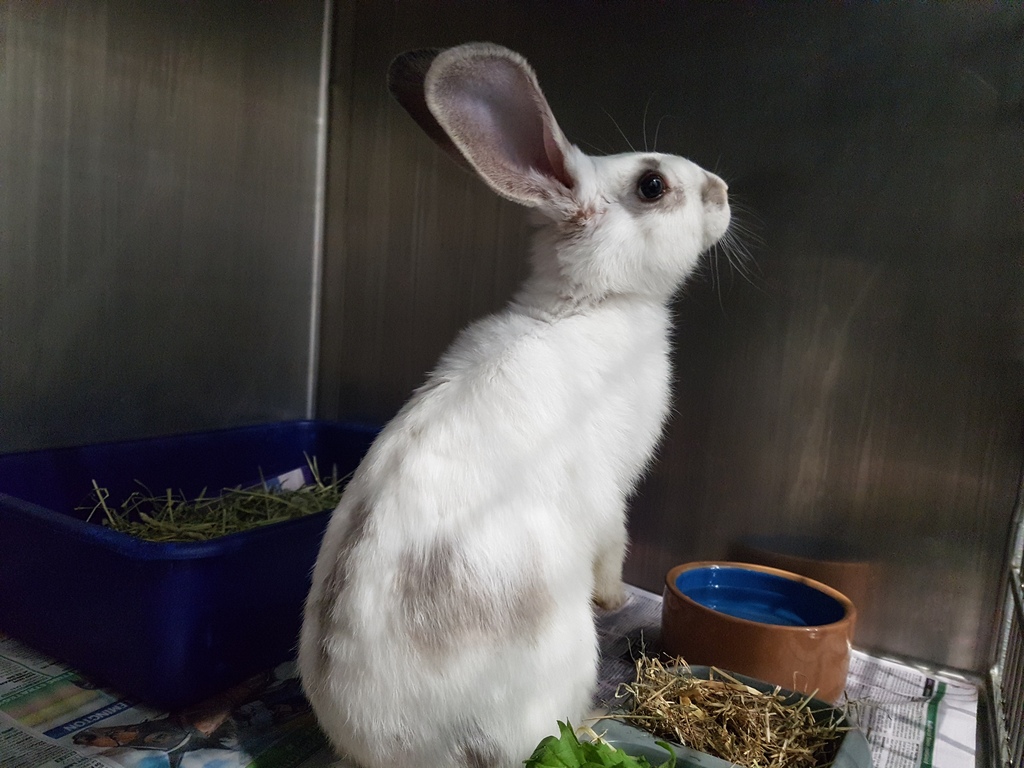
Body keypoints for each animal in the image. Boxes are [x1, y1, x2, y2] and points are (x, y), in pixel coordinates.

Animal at [298, 42, 730, 768]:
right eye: (652, 186)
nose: (723, 190)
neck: (584, 305)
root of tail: (399, 748)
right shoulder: (613, 498)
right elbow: (615, 548)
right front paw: (616, 596)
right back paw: (593, 728)